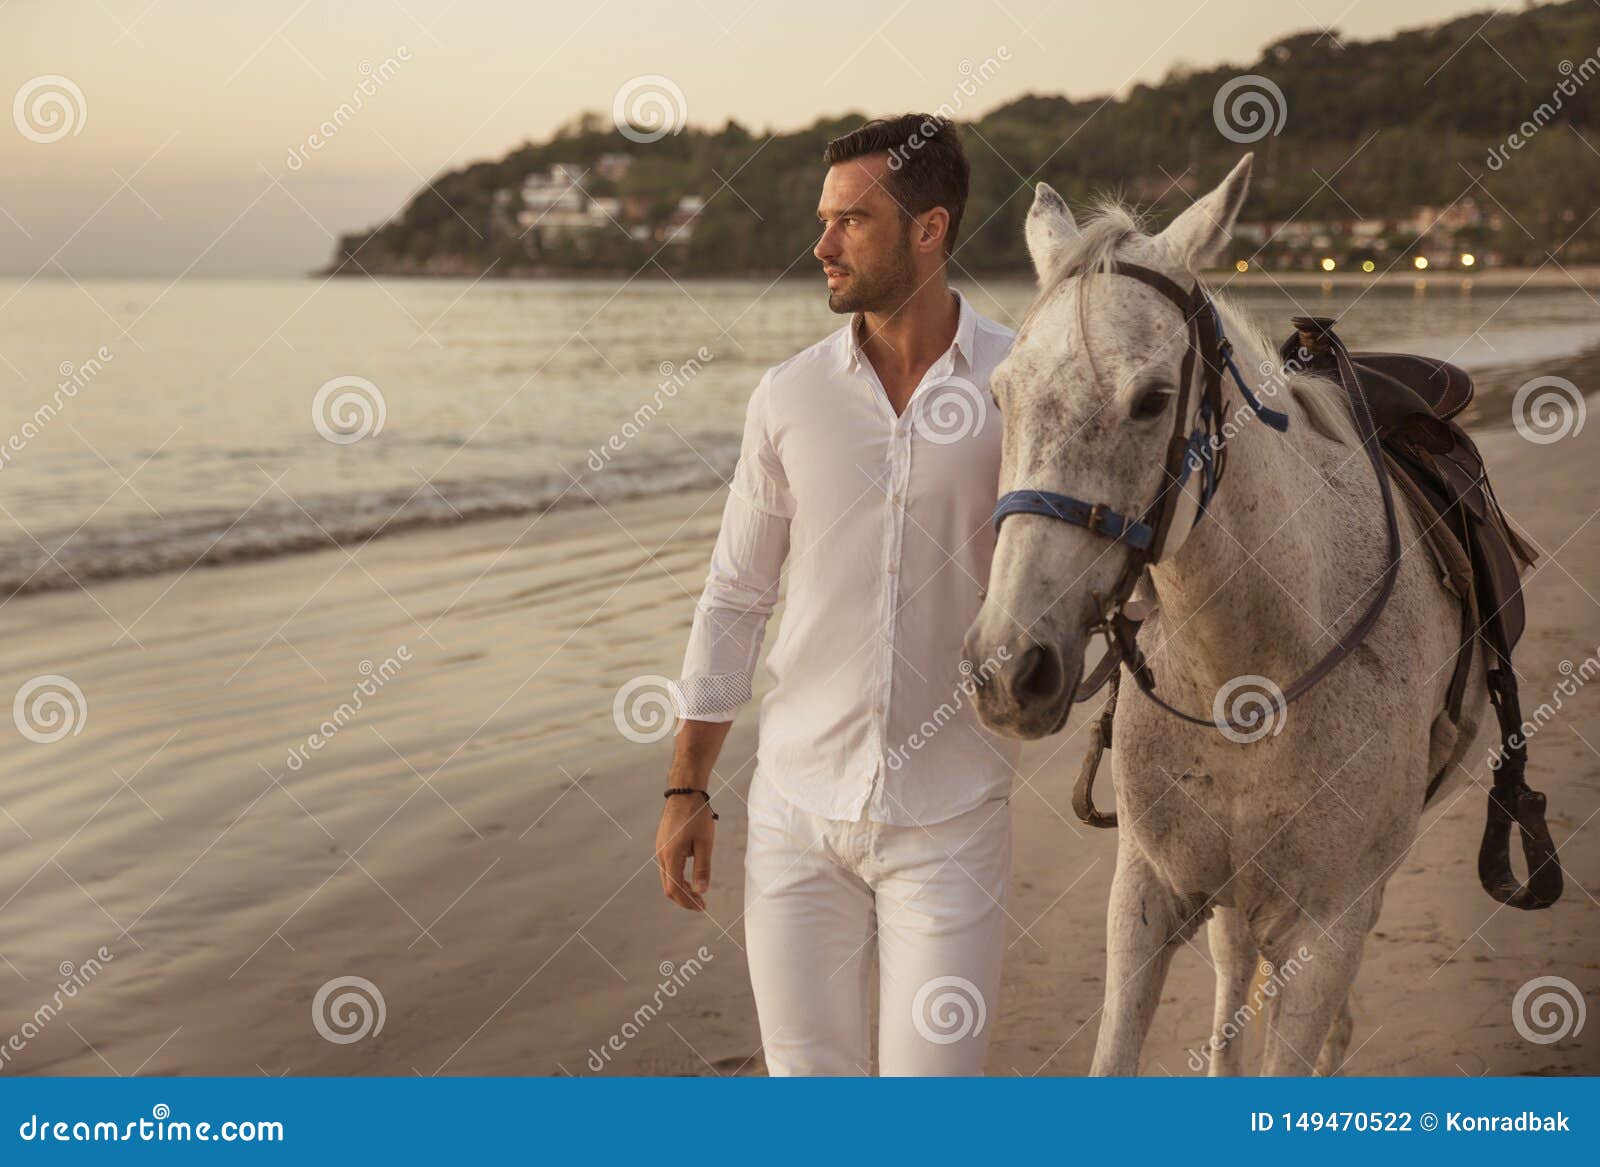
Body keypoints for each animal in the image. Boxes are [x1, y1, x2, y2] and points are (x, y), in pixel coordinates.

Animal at [964, 155, 1495, 1075]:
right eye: (1001, 395)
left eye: (1152, 399)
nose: (1009, 667)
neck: (1246, 676)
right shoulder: (1146, 897)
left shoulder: (1327, 925)